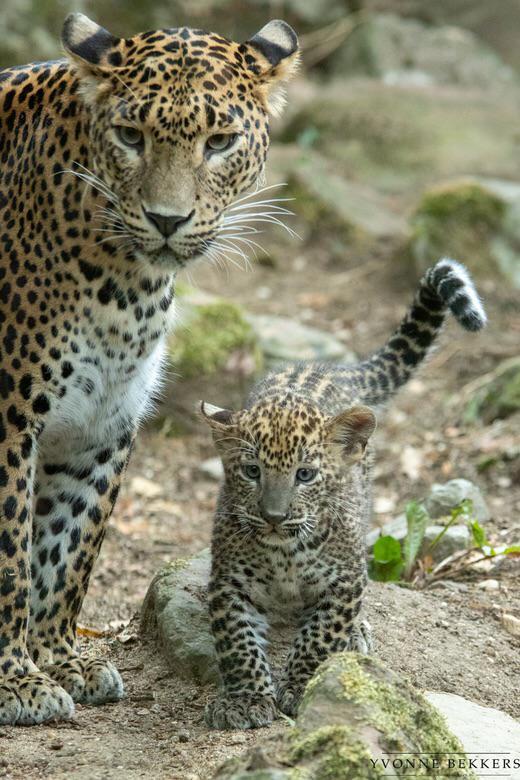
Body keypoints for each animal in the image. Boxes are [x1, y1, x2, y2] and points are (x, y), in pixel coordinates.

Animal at [0, 12, 299, 725]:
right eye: (131, 136)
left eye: (219, 142)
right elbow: (10, 553)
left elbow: (67, 548)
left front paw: (59, 661)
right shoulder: (8, 417)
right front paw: (14, 682)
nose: (167, 220)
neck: (122, 283)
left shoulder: (103, 421)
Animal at [201, 258, 486, 730]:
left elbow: (321, 635)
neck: (284, 552)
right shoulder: (229, 584)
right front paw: (246, 699)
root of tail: (331, 369)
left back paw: (356, 633)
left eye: (305, 475)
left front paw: (300, 685)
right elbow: (238, 644)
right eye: (252, 471)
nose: (274, 516)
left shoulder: (345, 580)